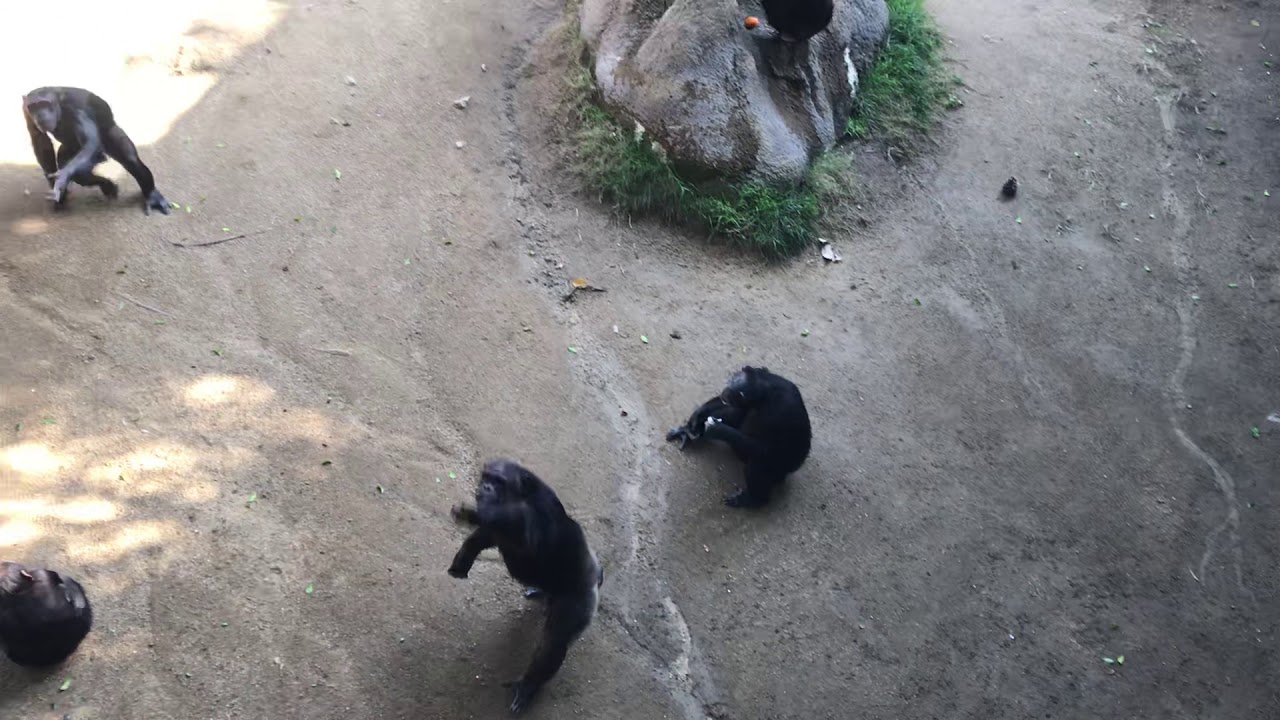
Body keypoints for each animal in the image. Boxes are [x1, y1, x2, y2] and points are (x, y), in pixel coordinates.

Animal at [22, 86, 170, 215]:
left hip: (110, 134)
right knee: (78, 172)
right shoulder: (26, 110)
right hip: (71, 149)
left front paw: (61, 177)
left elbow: (89, 142)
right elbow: (40, 140)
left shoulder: (75, 107)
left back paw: (152, 195)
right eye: (34, 106)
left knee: (131, 160)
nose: (41, 114)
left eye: (45, 104)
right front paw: (55, 184)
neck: (59, 103)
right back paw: (107, 185)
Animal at [448, 459, 604, 714]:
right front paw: (463, 557)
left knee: (554, 642)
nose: (486, 487)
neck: (521, 494)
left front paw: (476, 512)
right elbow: (485, 536)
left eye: (499, 481)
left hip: (580, 600)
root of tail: (596, 576)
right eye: (486, 477)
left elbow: (519, 532)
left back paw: (529, 685)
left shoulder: (535, 517)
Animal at [666, 366, 811, 508]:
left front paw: (718, 429)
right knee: (737, 413)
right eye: (732, 378)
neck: (766, 392)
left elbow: (767, 449)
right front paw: (698, 415)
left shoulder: (780, 410)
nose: (725, 390)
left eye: (733, 386)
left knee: (758, 463)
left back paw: (755, 499)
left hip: (777, 469)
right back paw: (688, 432)